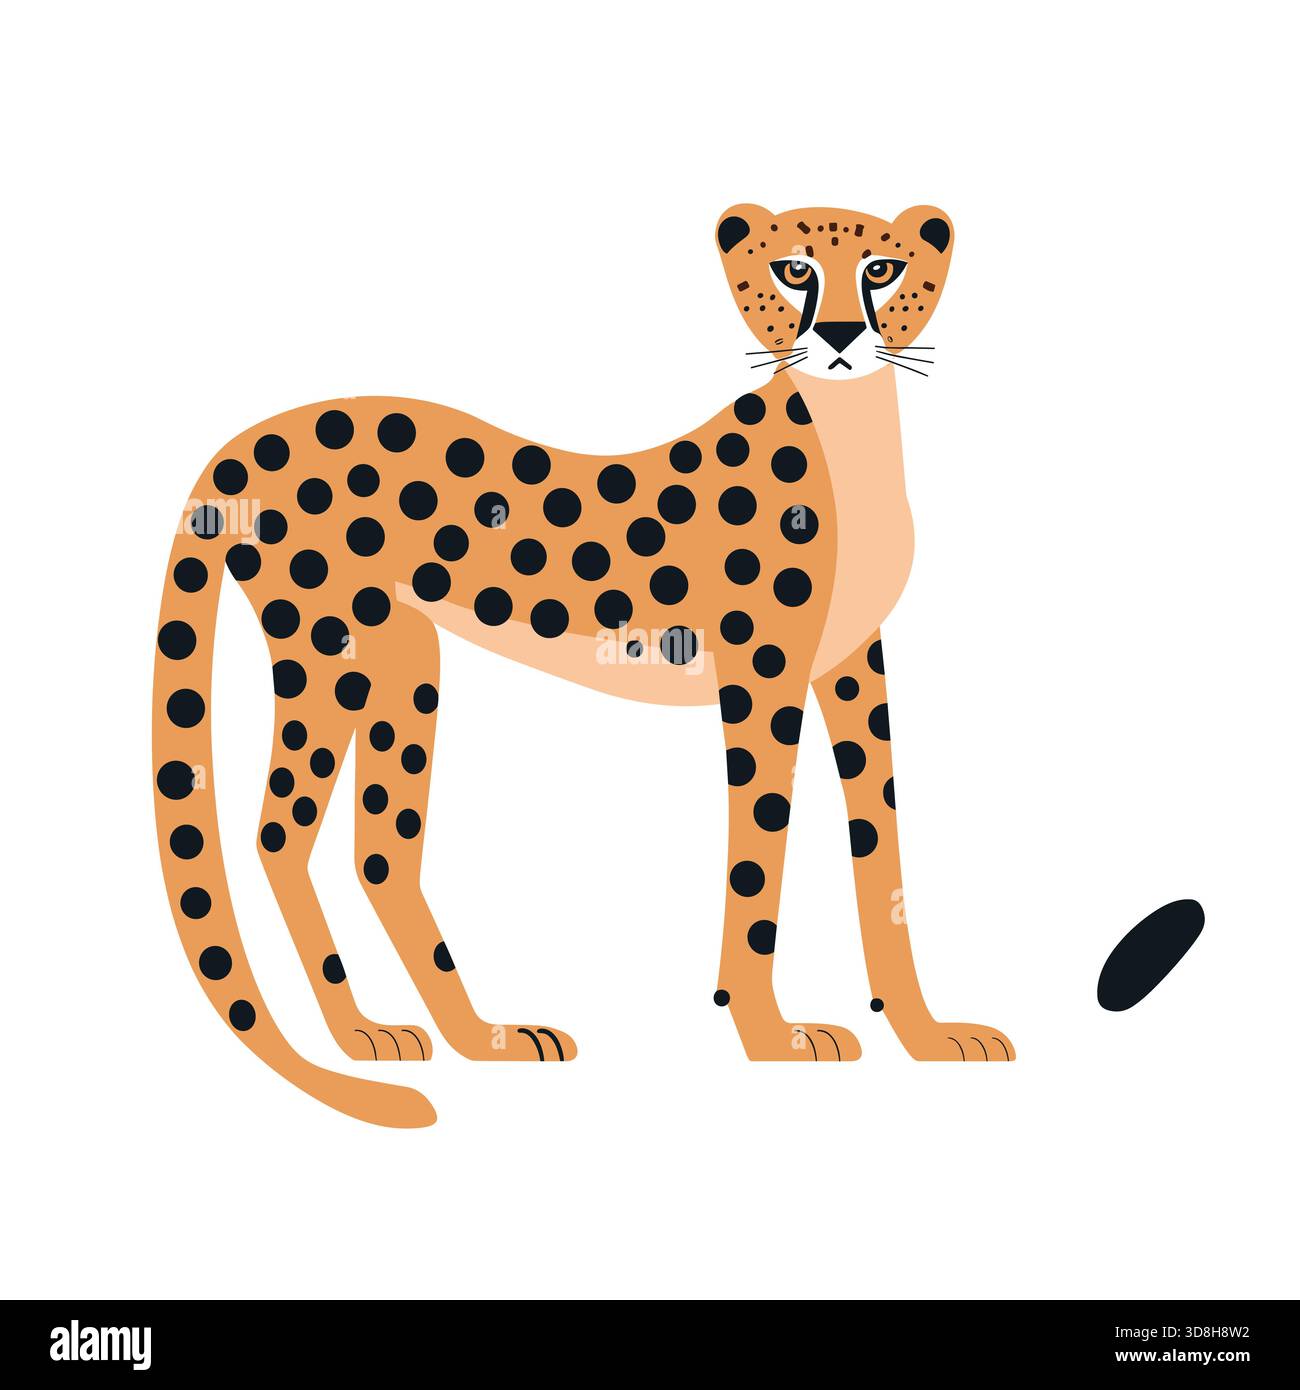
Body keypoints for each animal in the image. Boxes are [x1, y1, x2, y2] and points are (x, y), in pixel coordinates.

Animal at [152, 202, 1014, 1129]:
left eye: (883, 269)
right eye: (793, 271)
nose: (843, 334)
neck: (846, 431)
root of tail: (246, 440)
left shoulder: (852, 669)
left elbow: (881, 851)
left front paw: (926, 1033)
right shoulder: (762, 677)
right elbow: (758, 861)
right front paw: (767, 1031)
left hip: (405, 660)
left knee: (378, 848)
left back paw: (467, 1035)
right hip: (333, 646)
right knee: (284, 832)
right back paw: (362, 1032)